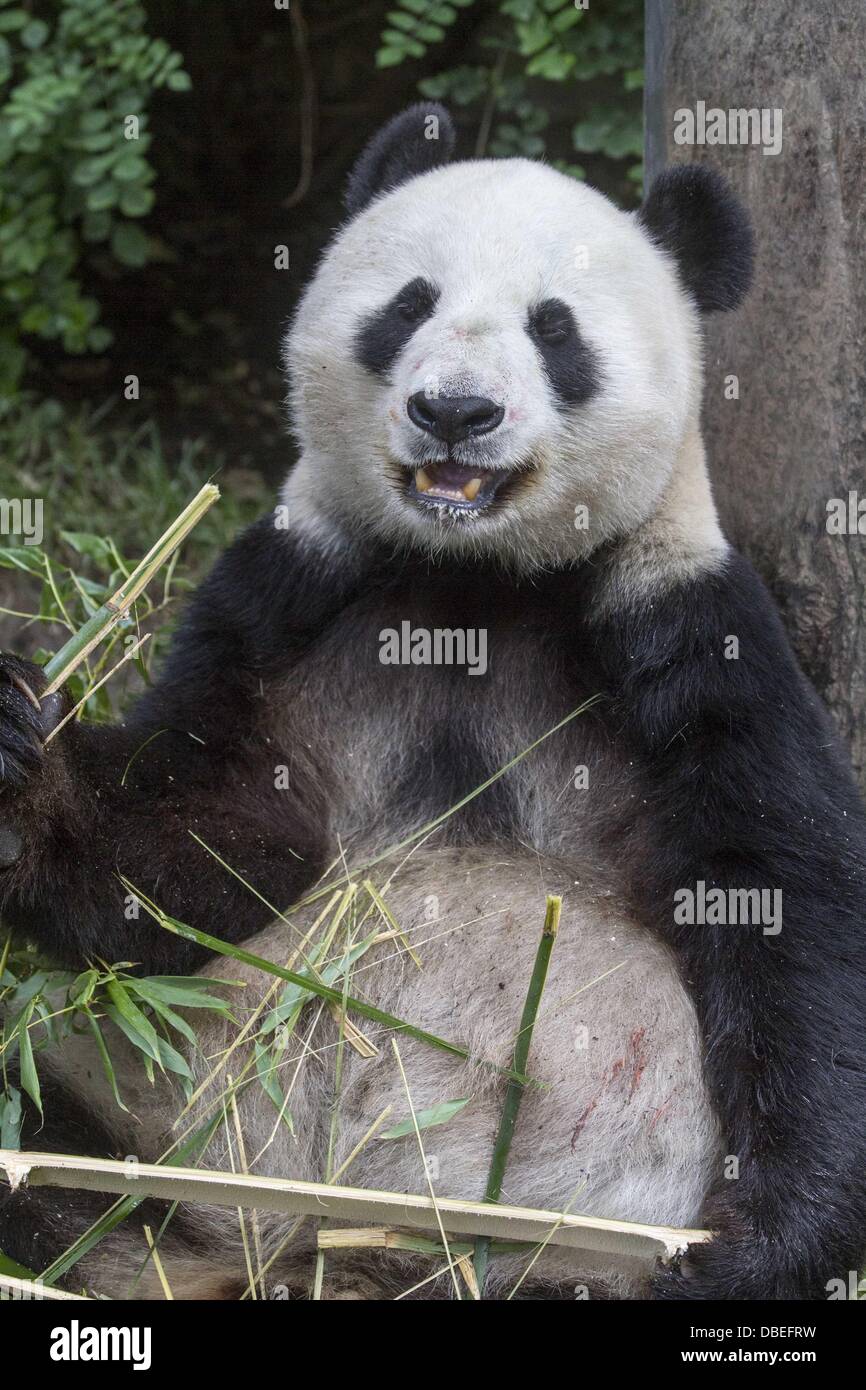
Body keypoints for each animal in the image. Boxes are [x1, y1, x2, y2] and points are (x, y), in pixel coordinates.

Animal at [1, 103, 866, 1302]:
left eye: (555, 329)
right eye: (408, 304)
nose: (455, 411)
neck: (473, 580)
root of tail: (310, 1252)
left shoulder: (683, 635)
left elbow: (782, 910)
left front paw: (756, 1246)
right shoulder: (291, 600)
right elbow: (196, 853)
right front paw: (22, 764)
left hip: (553, 1241)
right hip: (164, 1124)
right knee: (46, 1112)